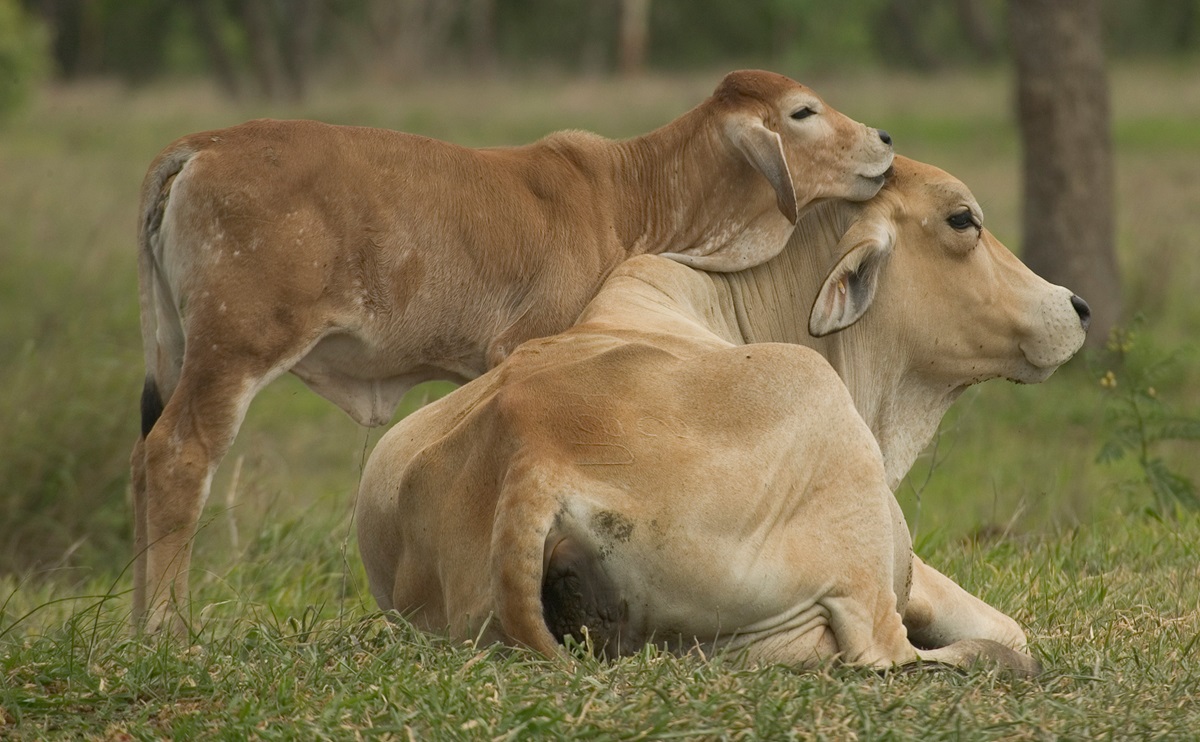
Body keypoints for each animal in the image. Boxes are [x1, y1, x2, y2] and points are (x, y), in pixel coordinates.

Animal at [131, 70, 894, 632]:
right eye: (802, 111)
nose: (884, 139)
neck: (632, 194)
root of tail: (201, 146)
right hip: (235, 346)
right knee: (177, 456)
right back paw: (166, 628)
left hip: (174, 349)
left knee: (143, 458)